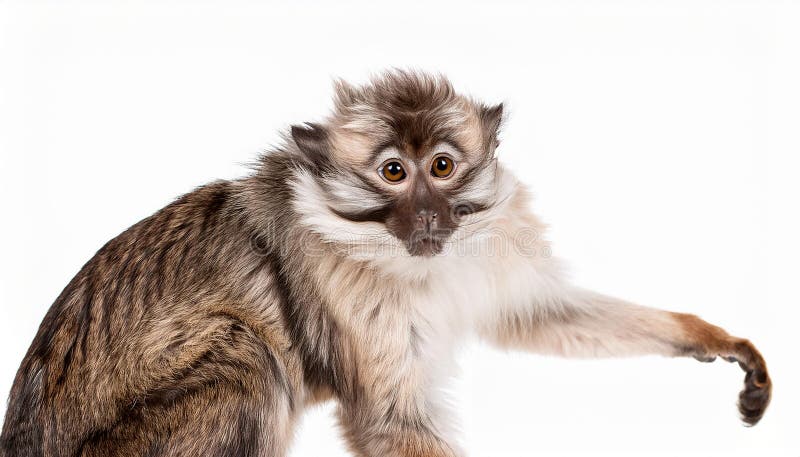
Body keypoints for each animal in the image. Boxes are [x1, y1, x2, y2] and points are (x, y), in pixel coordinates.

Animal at [1, 70, 771, 457]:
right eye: (394, 172)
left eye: (442, 167)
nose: (428, 216)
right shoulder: (345, 288)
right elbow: (392, 424)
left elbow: (537, 316)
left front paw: (708, 336)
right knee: (248, 356)